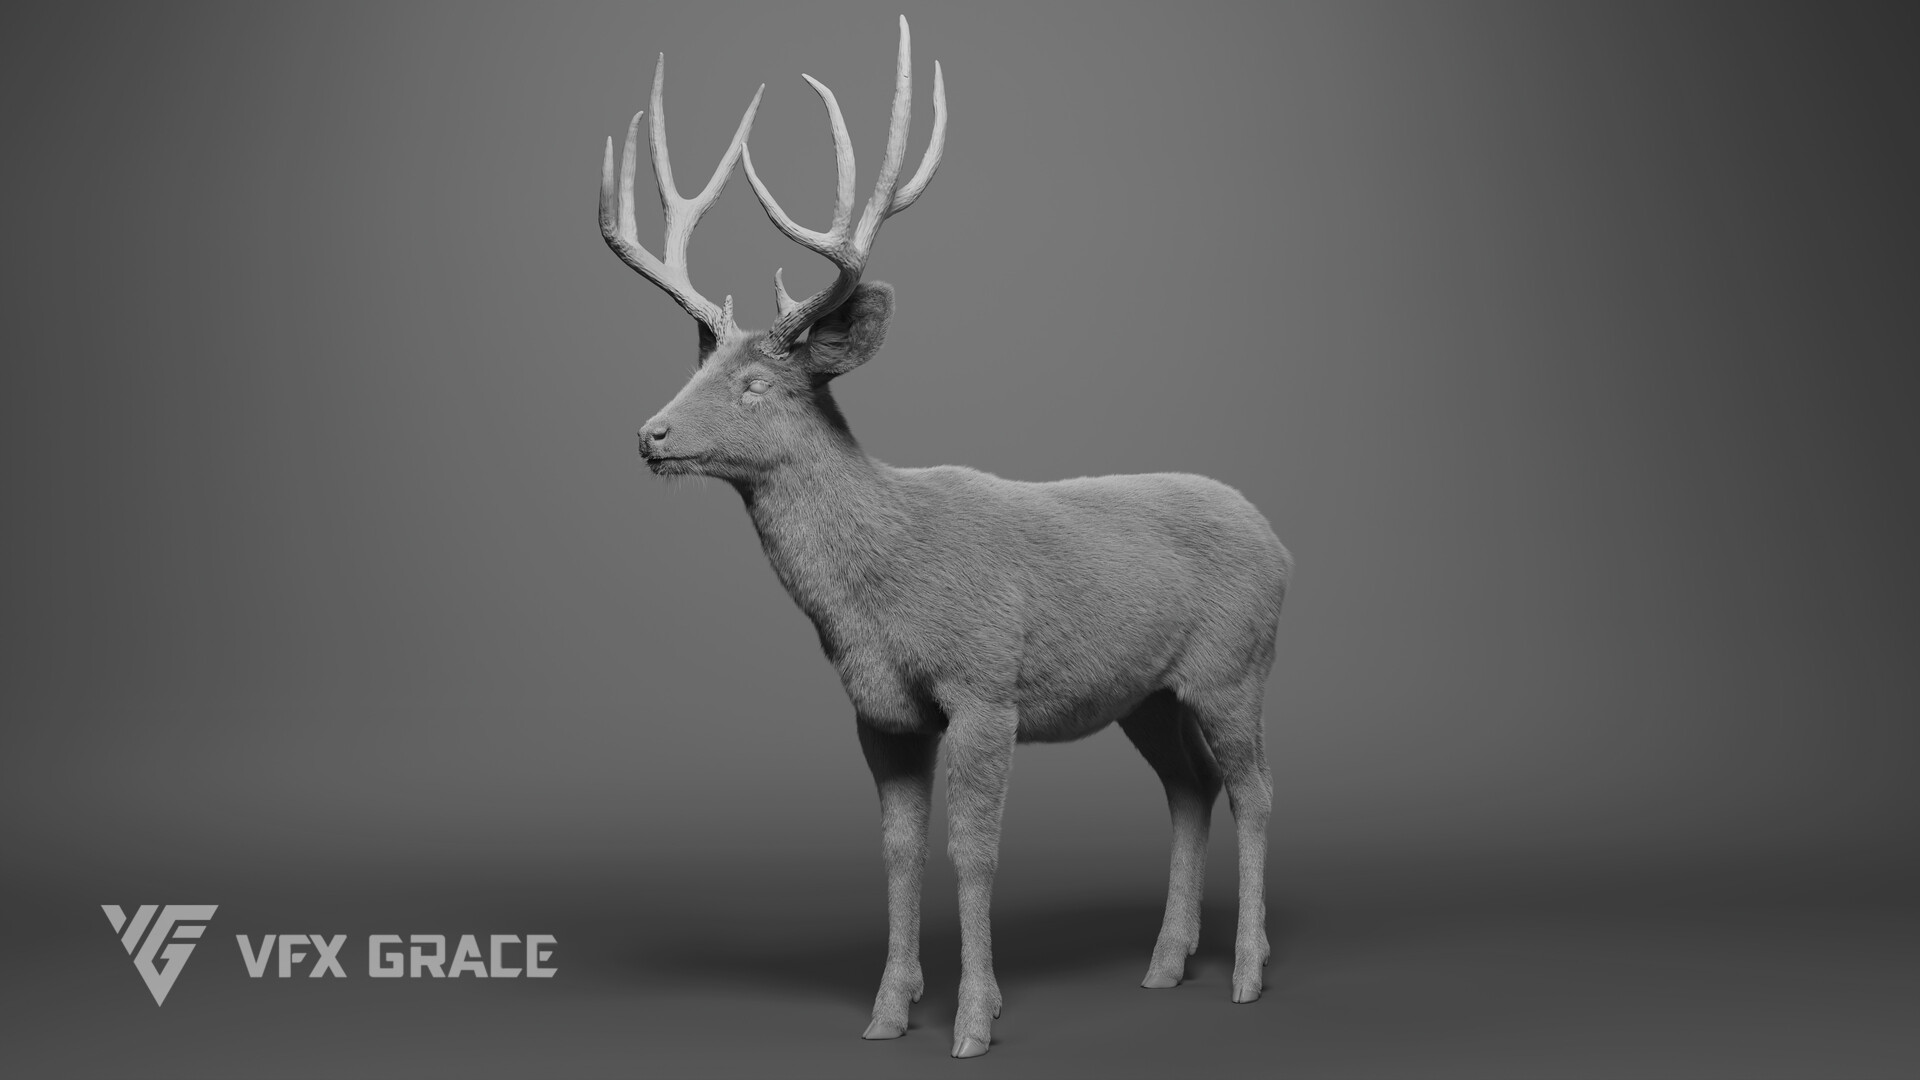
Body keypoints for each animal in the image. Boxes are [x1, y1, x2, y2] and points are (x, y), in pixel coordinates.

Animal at [597, 17, 1291, 1059]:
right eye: (702, 367)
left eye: (756, 385)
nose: (652, 433)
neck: (878, 591)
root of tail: (1282, 542)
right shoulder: (880, 711)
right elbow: (897, 850)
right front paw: (889, 1012)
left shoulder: (984, 686)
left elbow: (973, 851)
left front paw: (973, 1020)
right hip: (1146, 695)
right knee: (1189, 788)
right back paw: (1167, 963)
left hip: (1233, 667)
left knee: (1254, 790)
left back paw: (1245, 973)